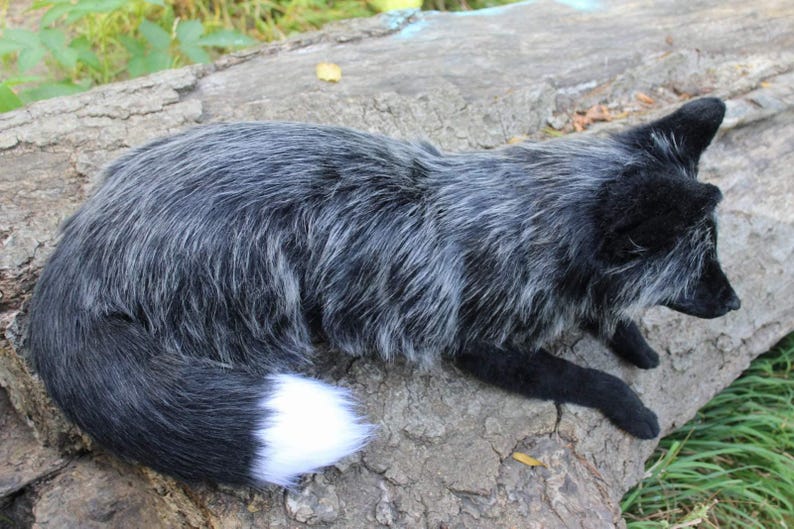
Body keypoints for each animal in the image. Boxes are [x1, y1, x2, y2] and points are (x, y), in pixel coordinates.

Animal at [27, 97, 740, 488]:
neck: (516, 218)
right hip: (264, 296)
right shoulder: (479, 345)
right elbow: (585, 379)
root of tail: (85, 243)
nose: (733, 304)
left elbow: (608, 318)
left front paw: (635, 343)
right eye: (698, 258)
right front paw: (634, 407)